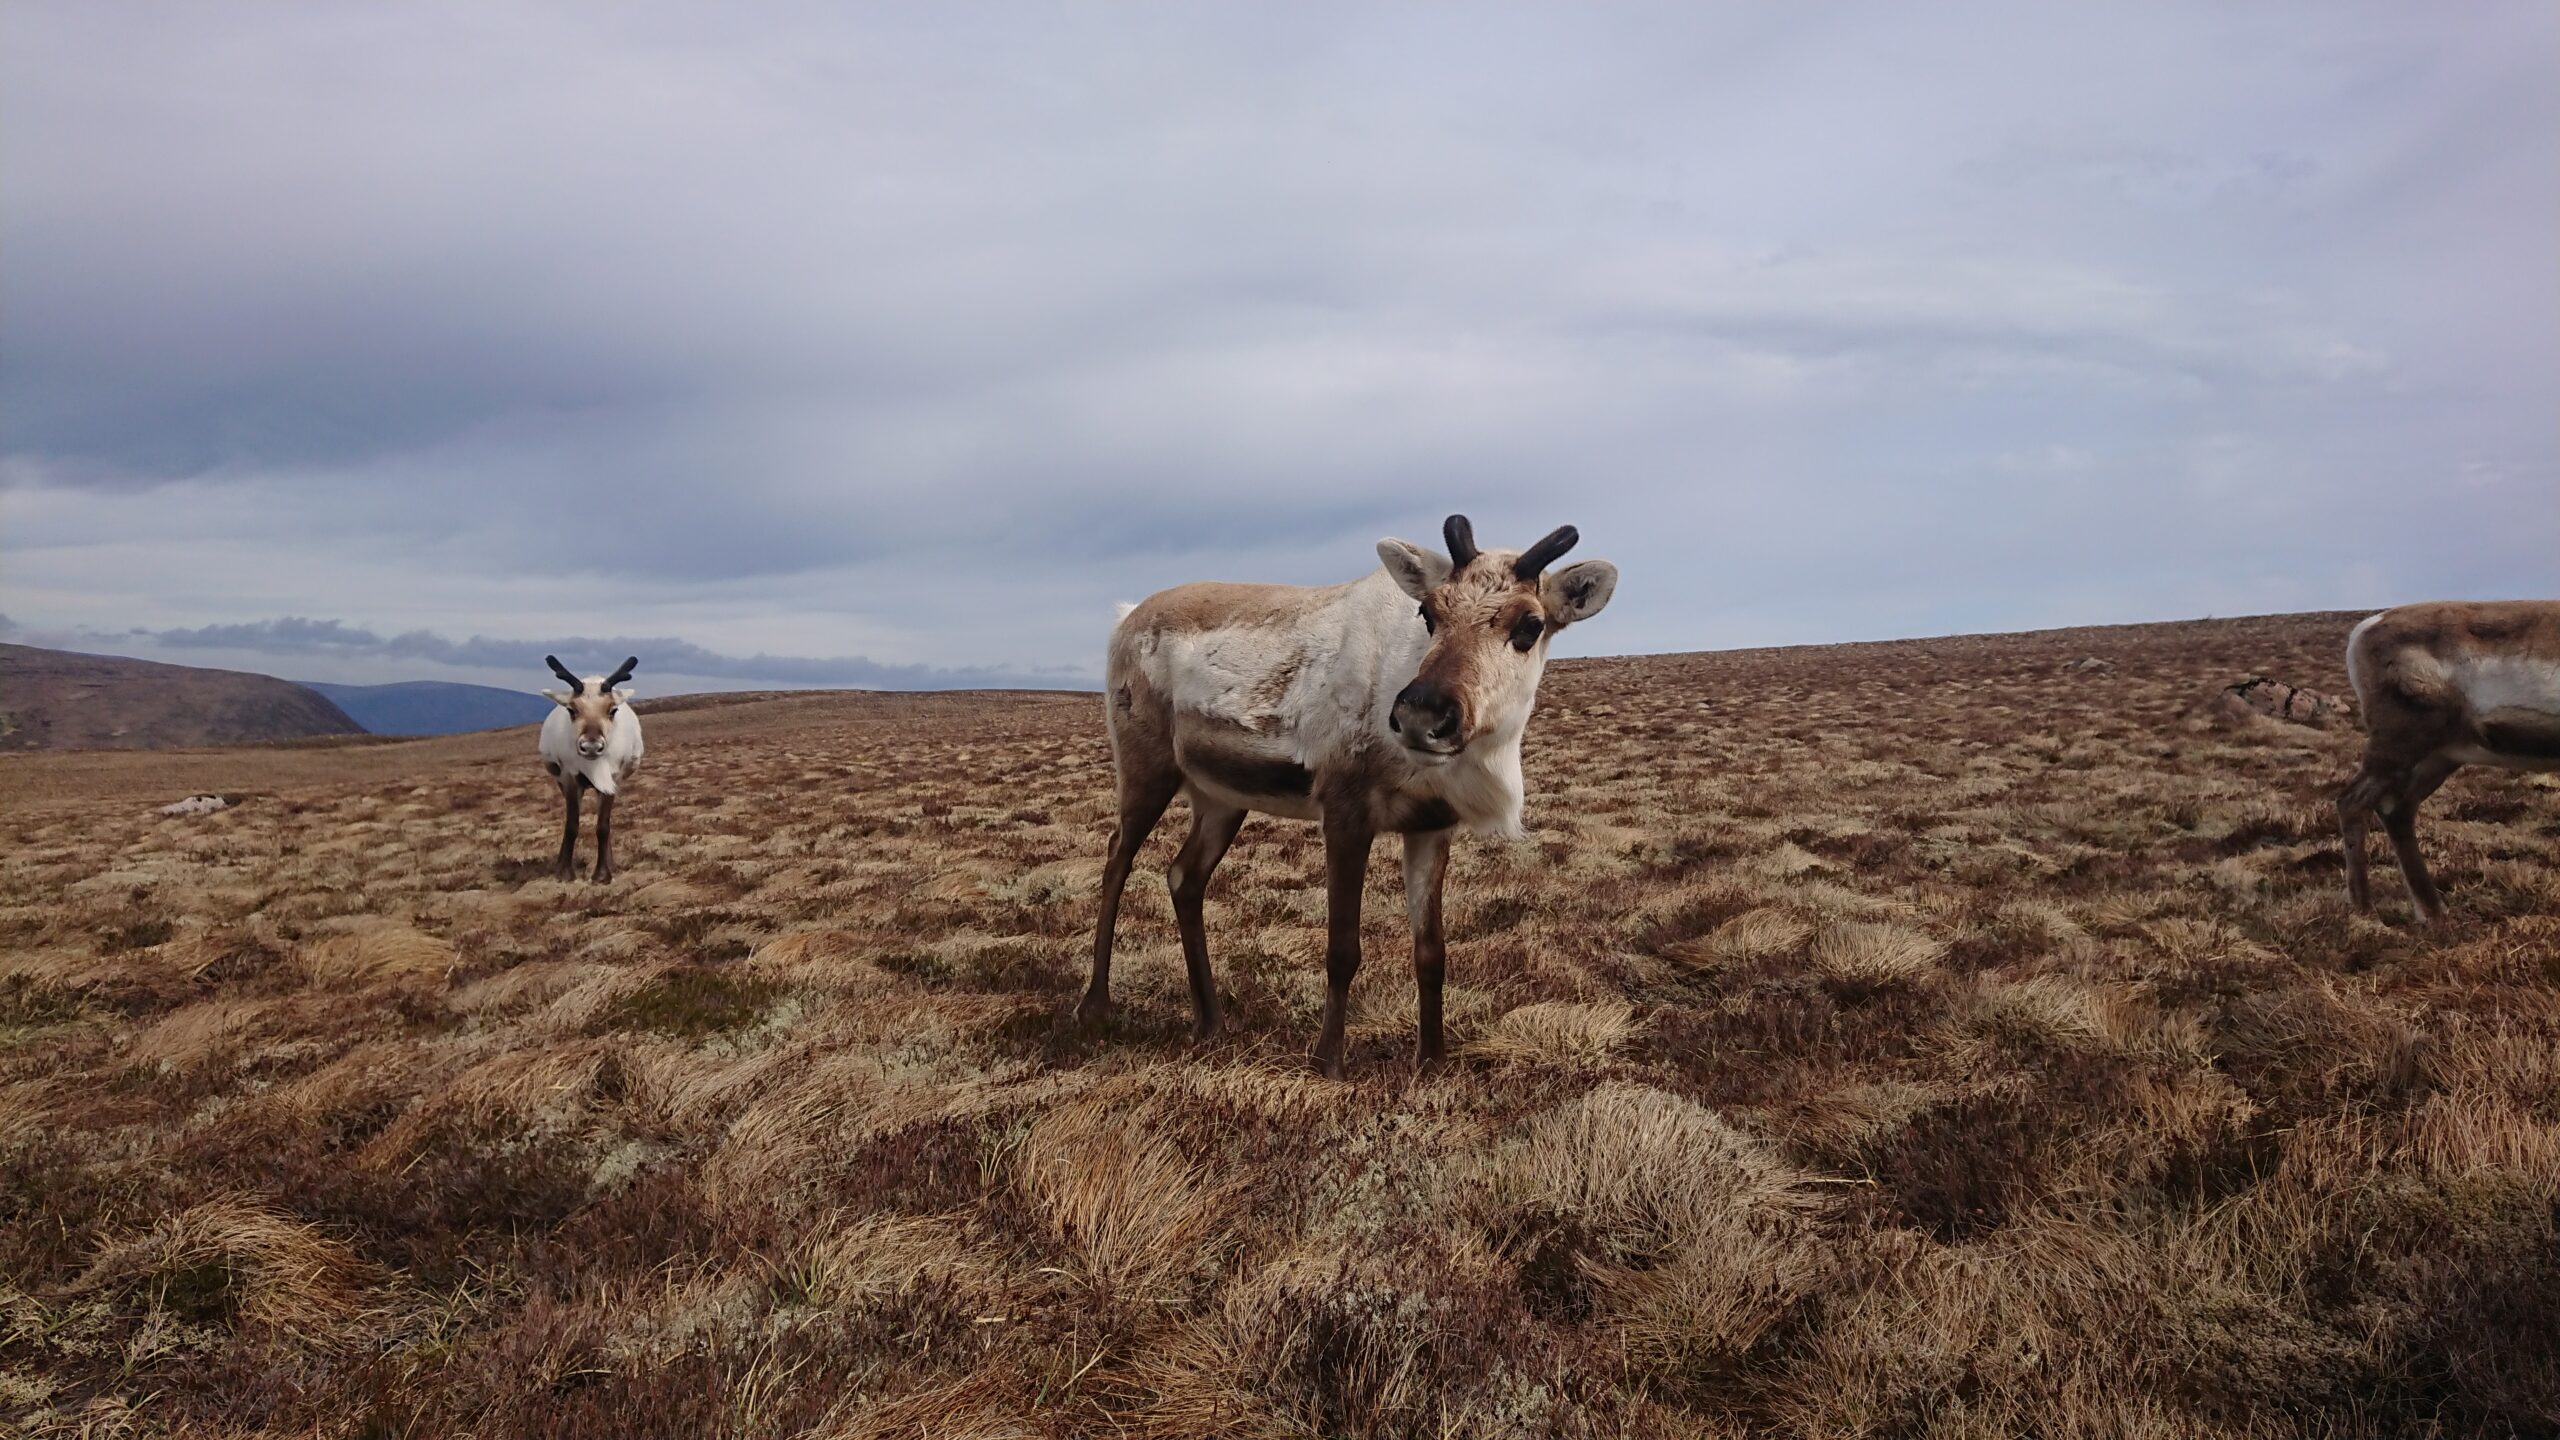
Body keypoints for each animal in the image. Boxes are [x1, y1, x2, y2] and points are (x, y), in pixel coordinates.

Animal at [1081, 515, 1618, 1076]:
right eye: (1429, 612)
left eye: (1530, 625)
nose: (1421, 715)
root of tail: (1125, 618)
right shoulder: (1345, 811)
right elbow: (1343, 948)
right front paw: (1329, 1063)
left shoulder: (1430, 827)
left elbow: (1432, 951)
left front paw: (1433, 1061)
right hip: (1147, 768)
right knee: (1117, 860)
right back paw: (1095, 1006)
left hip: (1221, 796)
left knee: (1184, 876)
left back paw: (1211, 1021)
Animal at [2337, 601, 2560, 924]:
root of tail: (2364, 629)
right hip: (2400, 744)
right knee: (2352, 802)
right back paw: (2367, 912)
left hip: (2439, 756)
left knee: (2396, 809)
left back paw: (2432, 912)